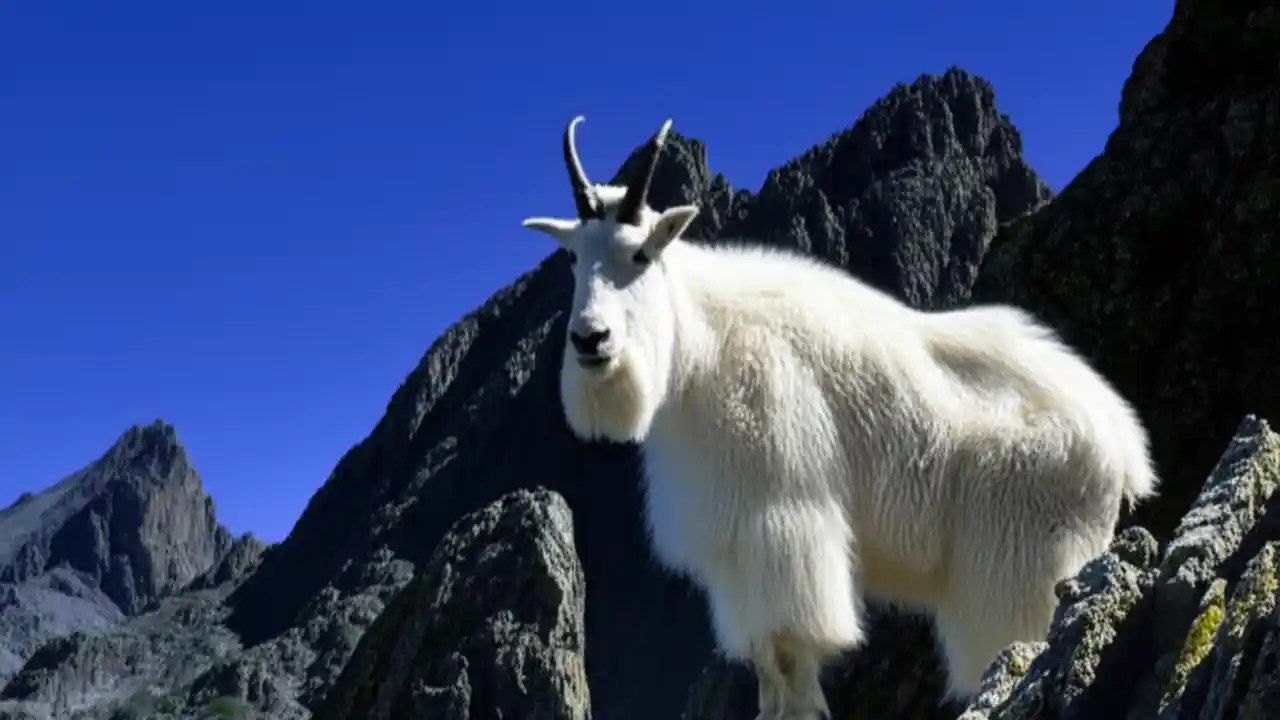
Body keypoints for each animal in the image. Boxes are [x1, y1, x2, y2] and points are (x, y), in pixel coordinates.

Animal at [521, 116, 1158, 720]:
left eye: (640, 253)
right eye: (573, 255)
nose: (591, 340)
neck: (699, 353)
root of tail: (1124, 445)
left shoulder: (783, 526)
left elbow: (791, 657)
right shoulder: (734, 552)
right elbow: (765, 664)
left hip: (1023, 567)